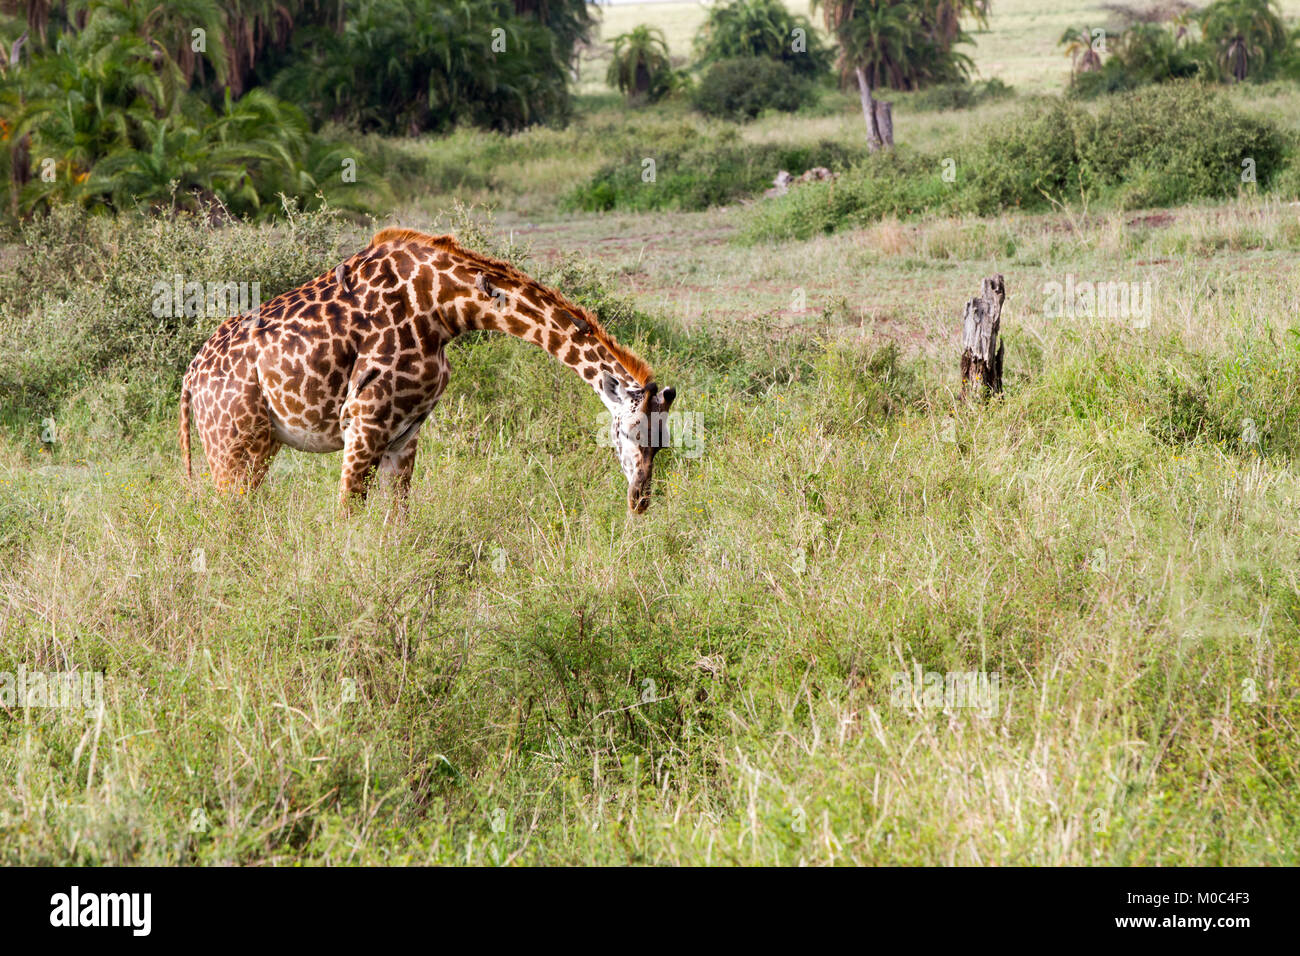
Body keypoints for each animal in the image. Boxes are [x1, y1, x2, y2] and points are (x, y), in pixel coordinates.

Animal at [179, 228, 676, 513]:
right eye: (631, 433)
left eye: (664, 443)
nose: (640, 501)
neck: (444, 308)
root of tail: (190, 378)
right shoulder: (363, 423)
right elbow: (346, 516)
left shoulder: (404, 433)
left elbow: (397, 520)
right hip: (235, 447)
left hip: (256, 446)